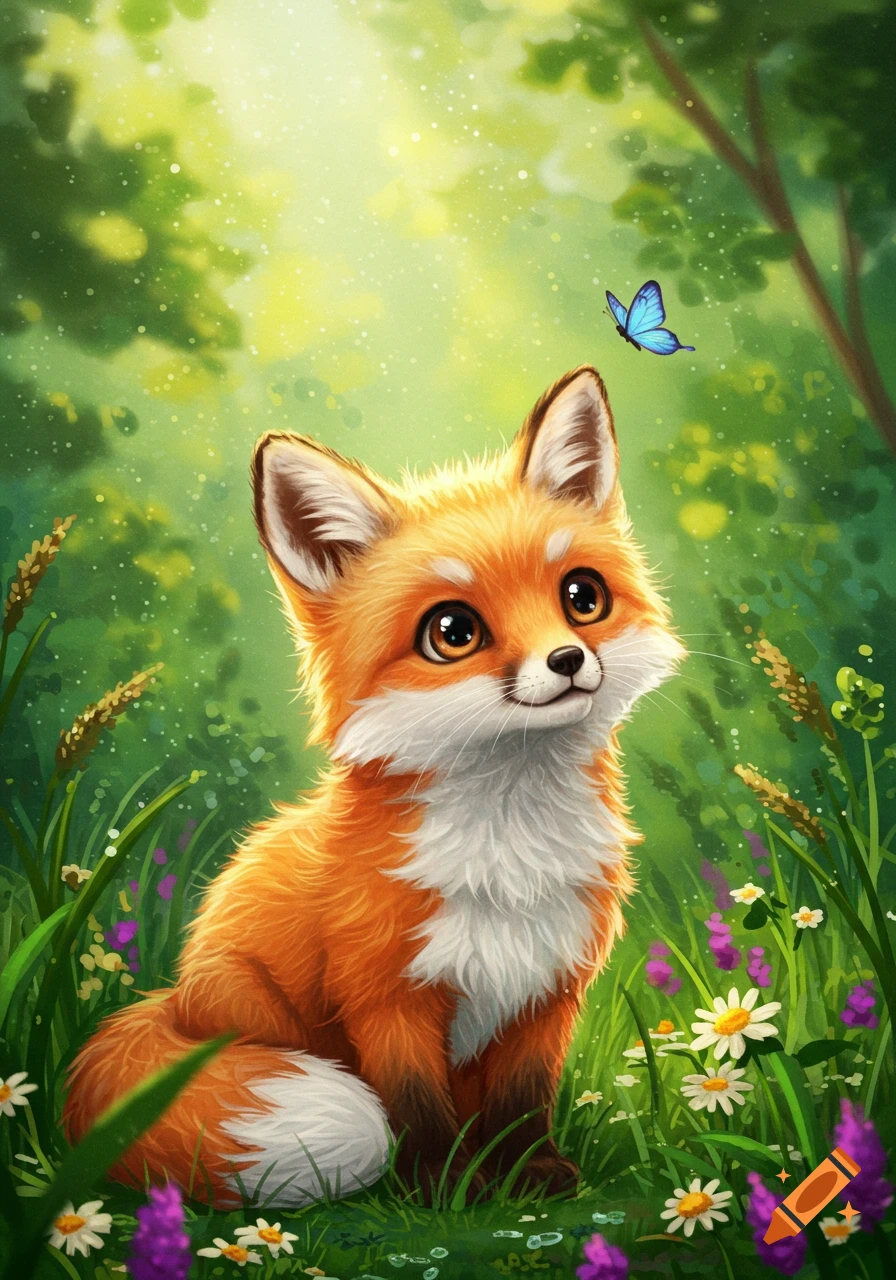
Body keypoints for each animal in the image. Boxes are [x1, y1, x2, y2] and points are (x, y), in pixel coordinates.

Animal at [63, 365, 684, 1208]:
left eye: (582, 596)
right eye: (453, 632)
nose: (567, 661)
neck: (507, 852)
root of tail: (175, 1001)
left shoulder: (545, 989)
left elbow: (523, 1101)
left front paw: (530, 1173)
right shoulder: (386, 998)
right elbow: (415, 1107)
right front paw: (441, 1190)